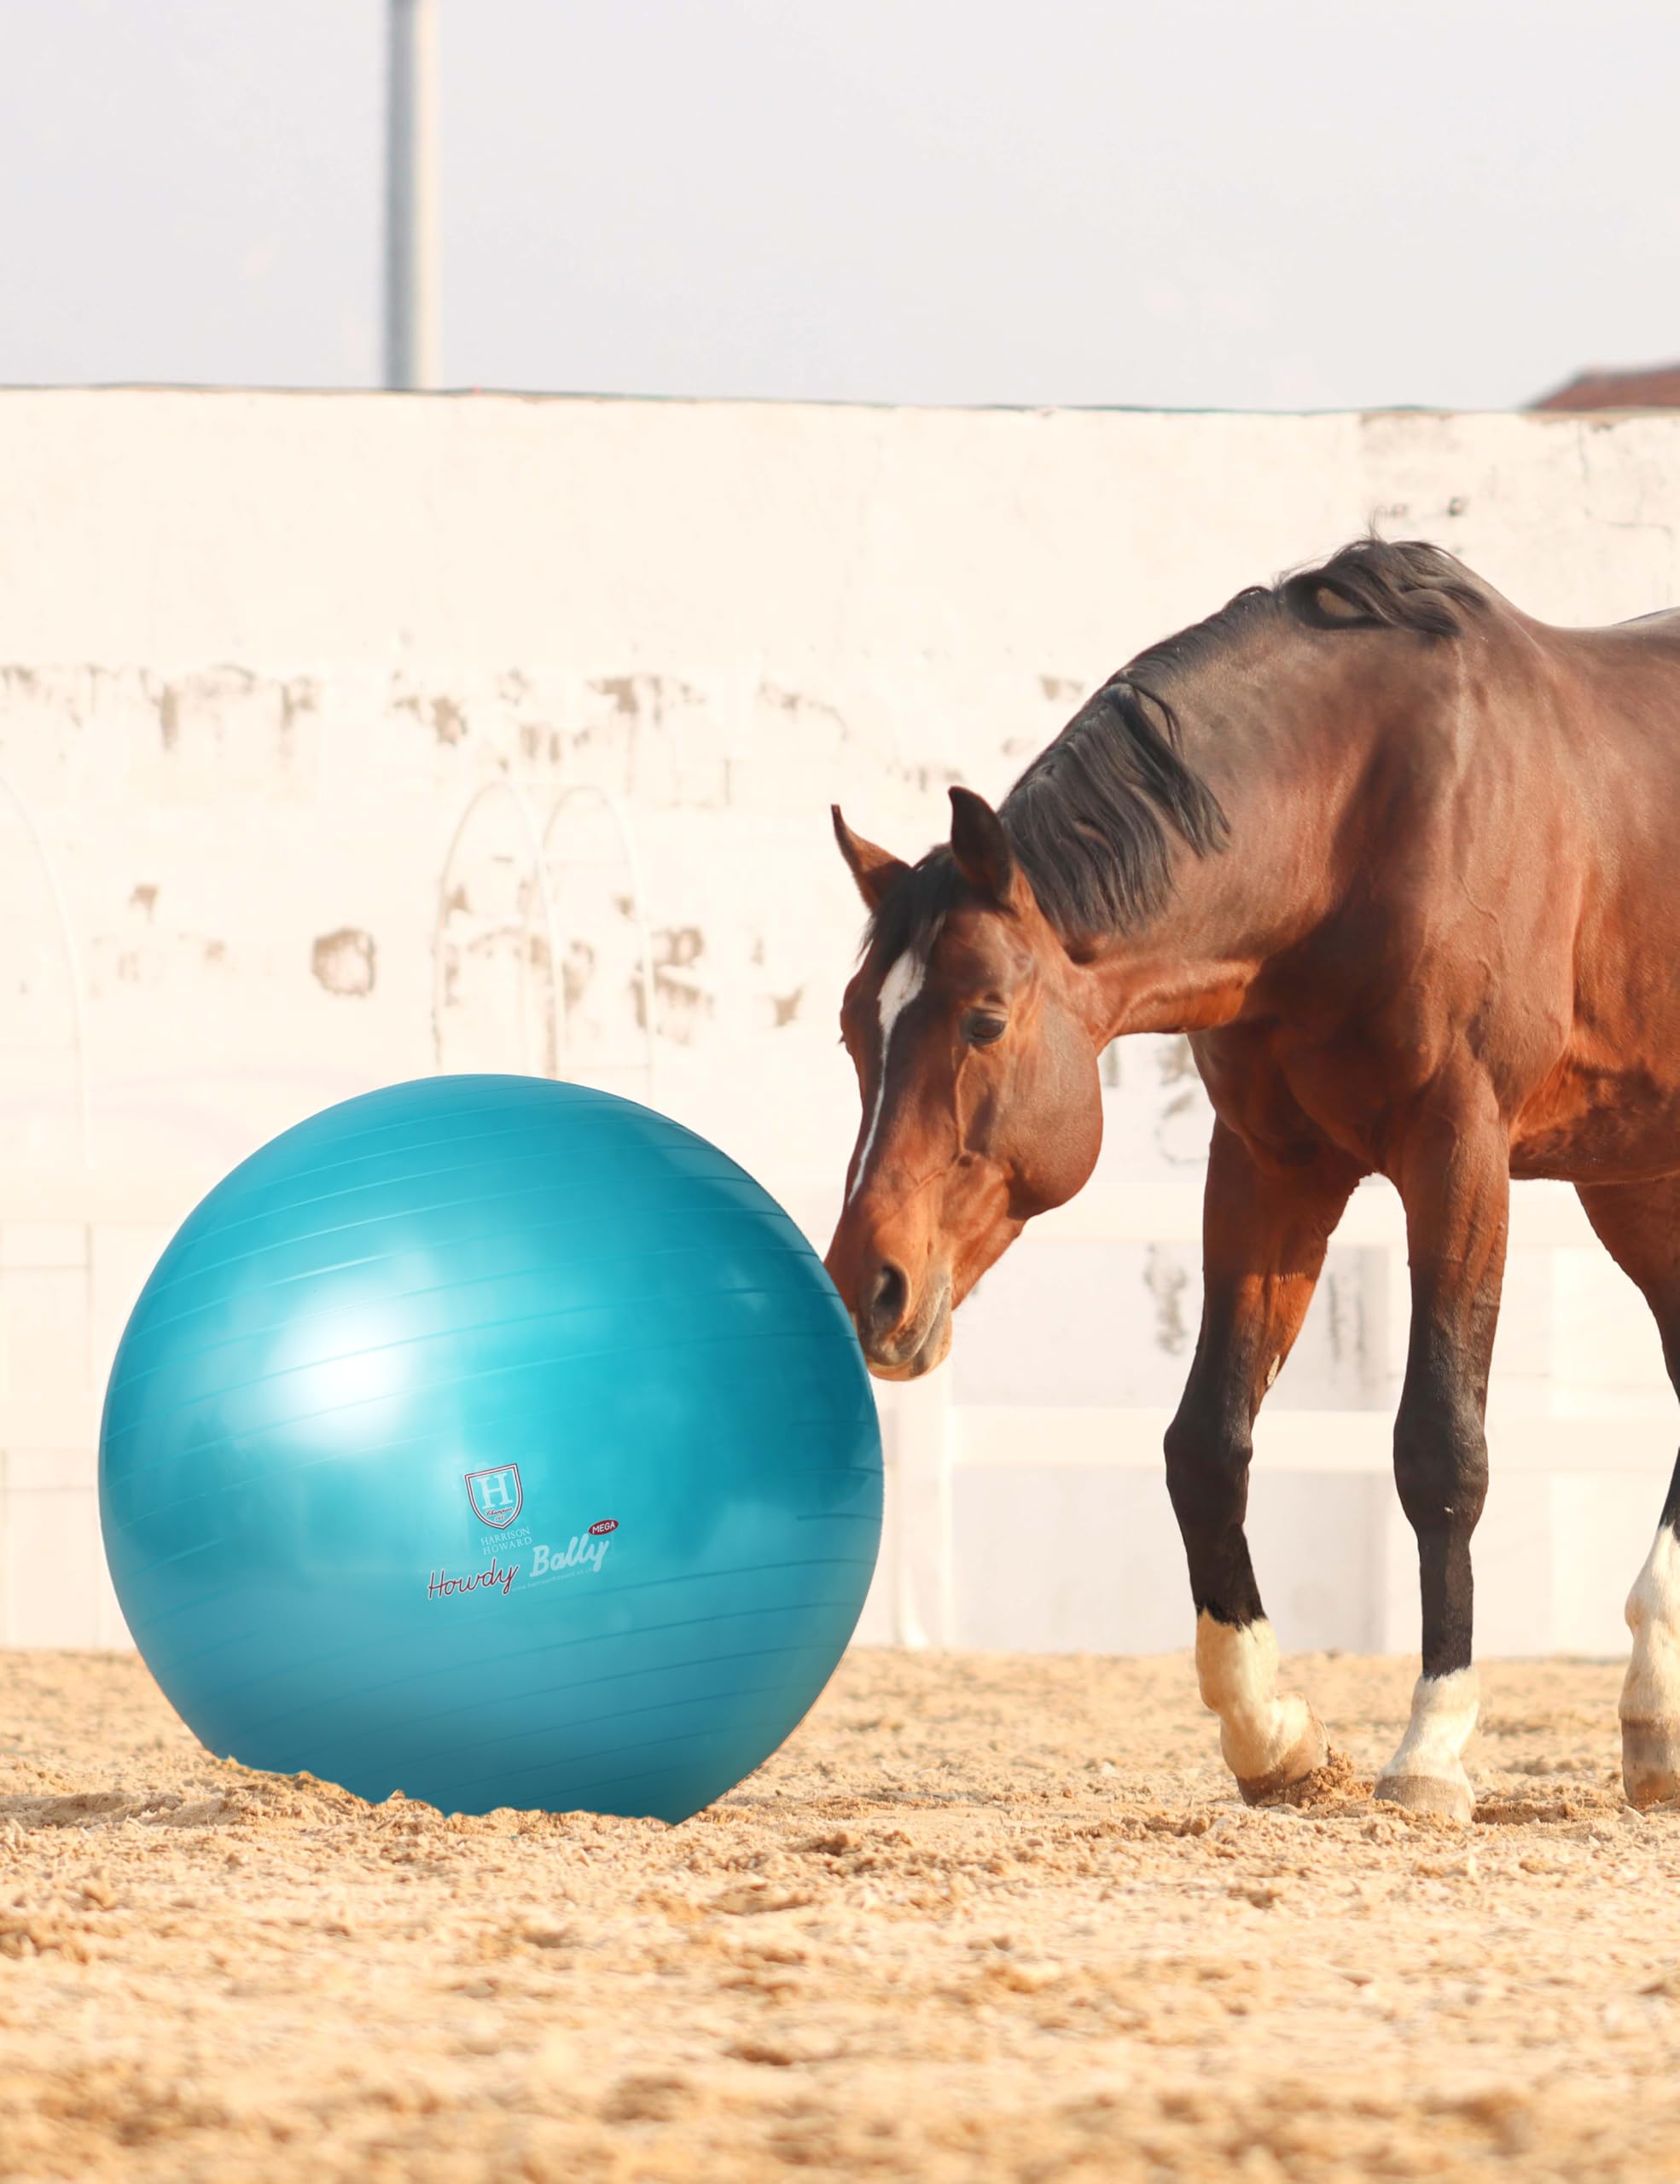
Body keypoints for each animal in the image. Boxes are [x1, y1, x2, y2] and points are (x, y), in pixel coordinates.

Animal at [824, 537, 1680, 1821]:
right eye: (851, 1030)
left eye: (984, 1018)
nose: (868, 1287)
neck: (1360, 823)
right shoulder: (1271, 1168)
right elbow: (1205, 1445)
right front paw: (1270, 1732)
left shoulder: (1457, 1153)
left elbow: (1440, 1446)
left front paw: (1431, 1748)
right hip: (1634, 1179)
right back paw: (1656, 1712)